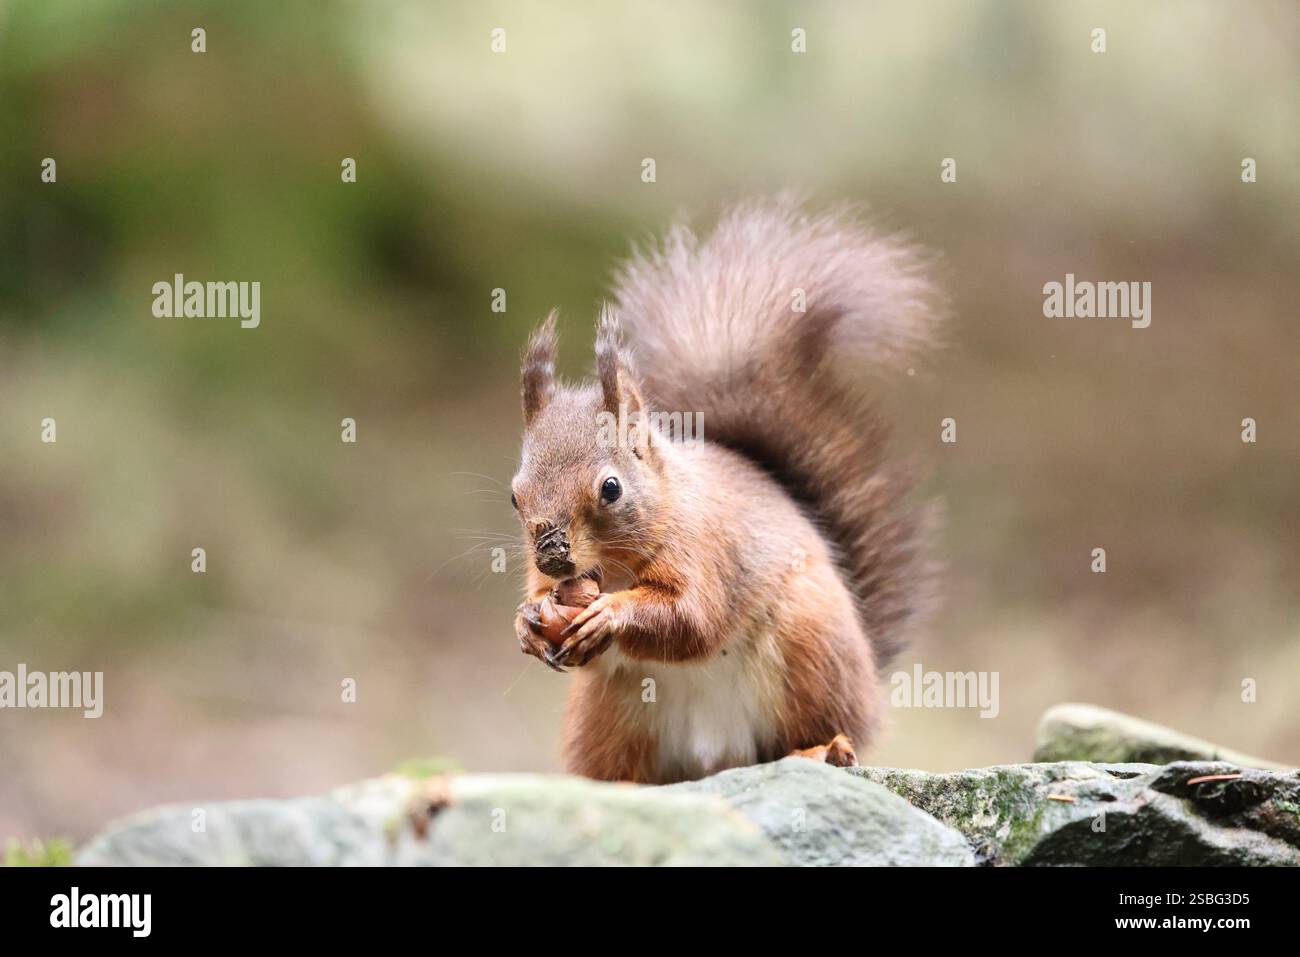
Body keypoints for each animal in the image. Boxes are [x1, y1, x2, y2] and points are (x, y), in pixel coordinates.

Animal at [510, 197, 944, 784]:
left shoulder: (704, 549)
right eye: (515, 495)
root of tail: (716, 758)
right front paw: (528, 623)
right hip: (606, 714)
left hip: (809, 650)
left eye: (611, 488)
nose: (552, 556)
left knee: (810, 729)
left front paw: (610, 615)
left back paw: (822, 750)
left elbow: (692, 618)